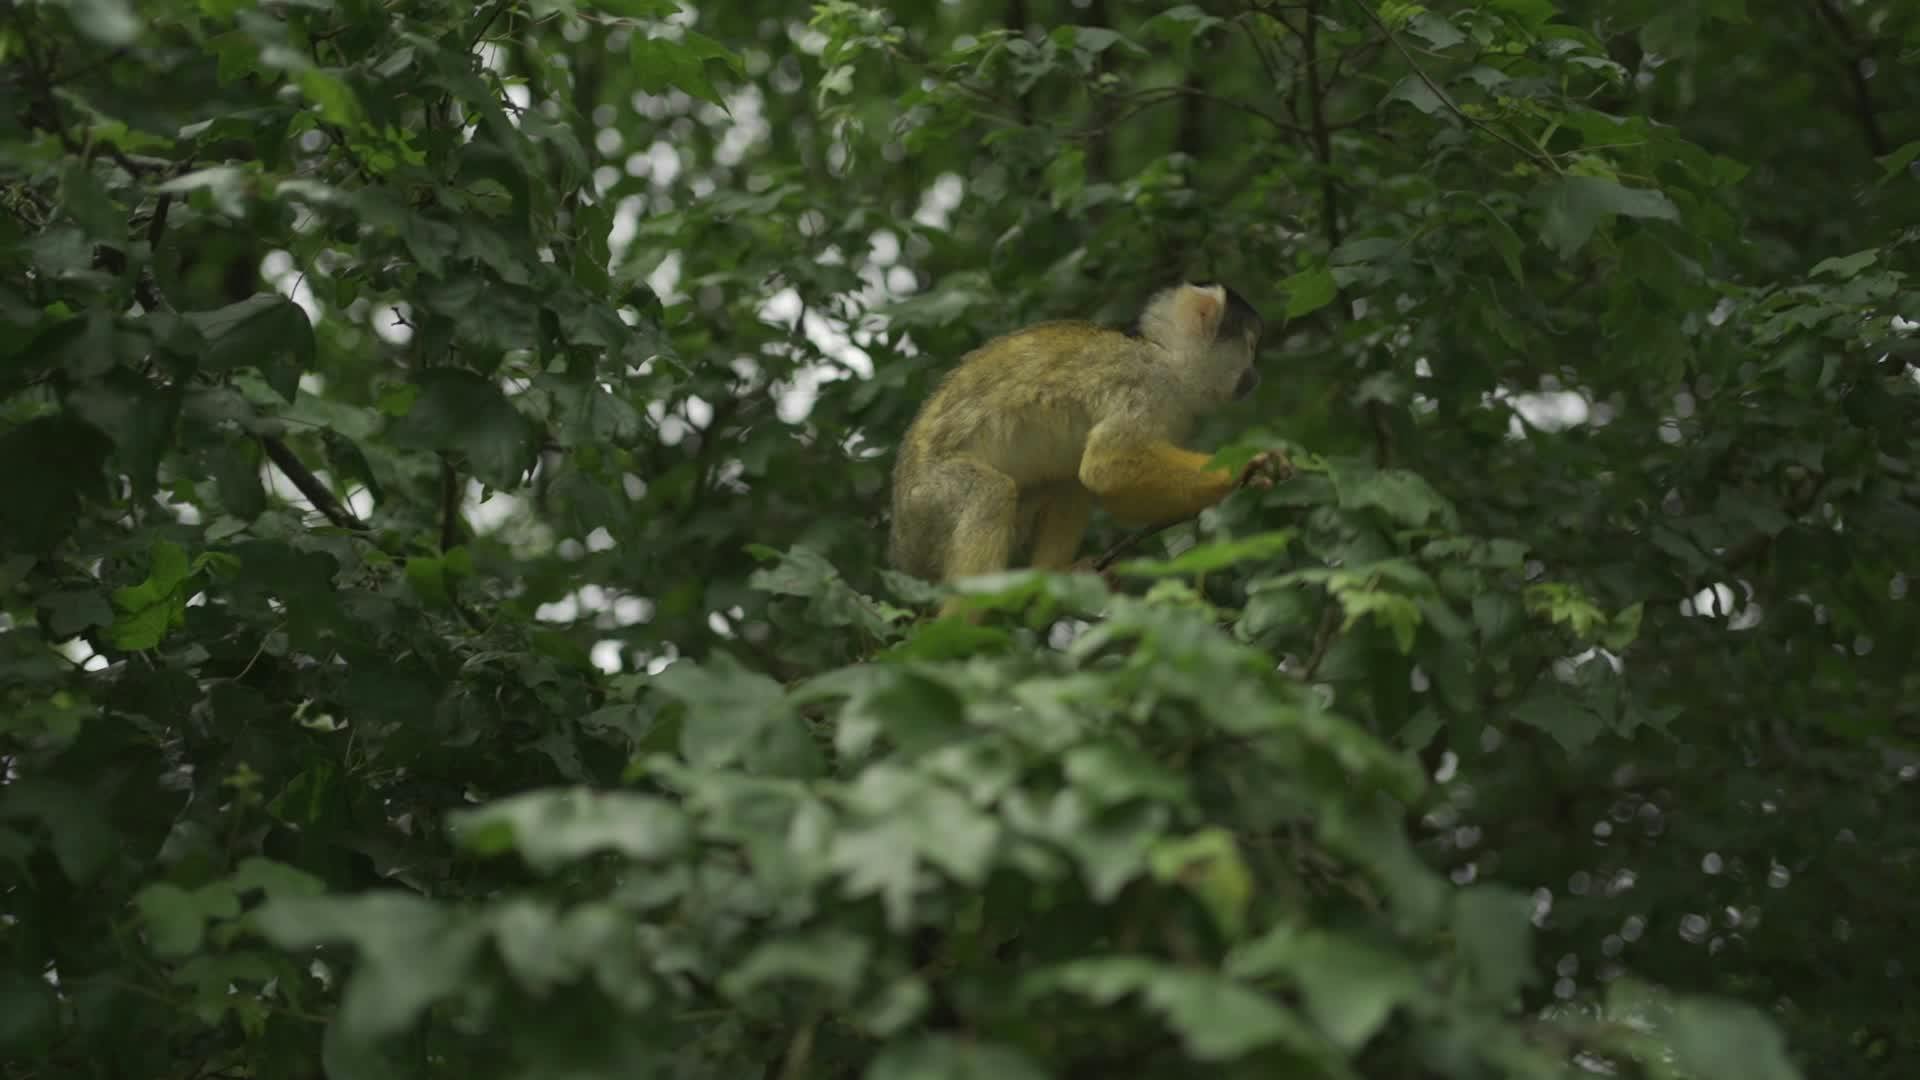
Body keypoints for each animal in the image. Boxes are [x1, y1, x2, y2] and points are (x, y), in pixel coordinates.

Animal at [888, 281, 1288, 615]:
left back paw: (1052, 578)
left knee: (1068, 479)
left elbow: (1109, 484)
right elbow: (1107, 465)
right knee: (990, 492)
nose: (1255, 375)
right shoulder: (1143, 385)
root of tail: (901, 549)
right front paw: (1243, 468)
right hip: (926, 503)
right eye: (1250, 347)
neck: (1162, 357)